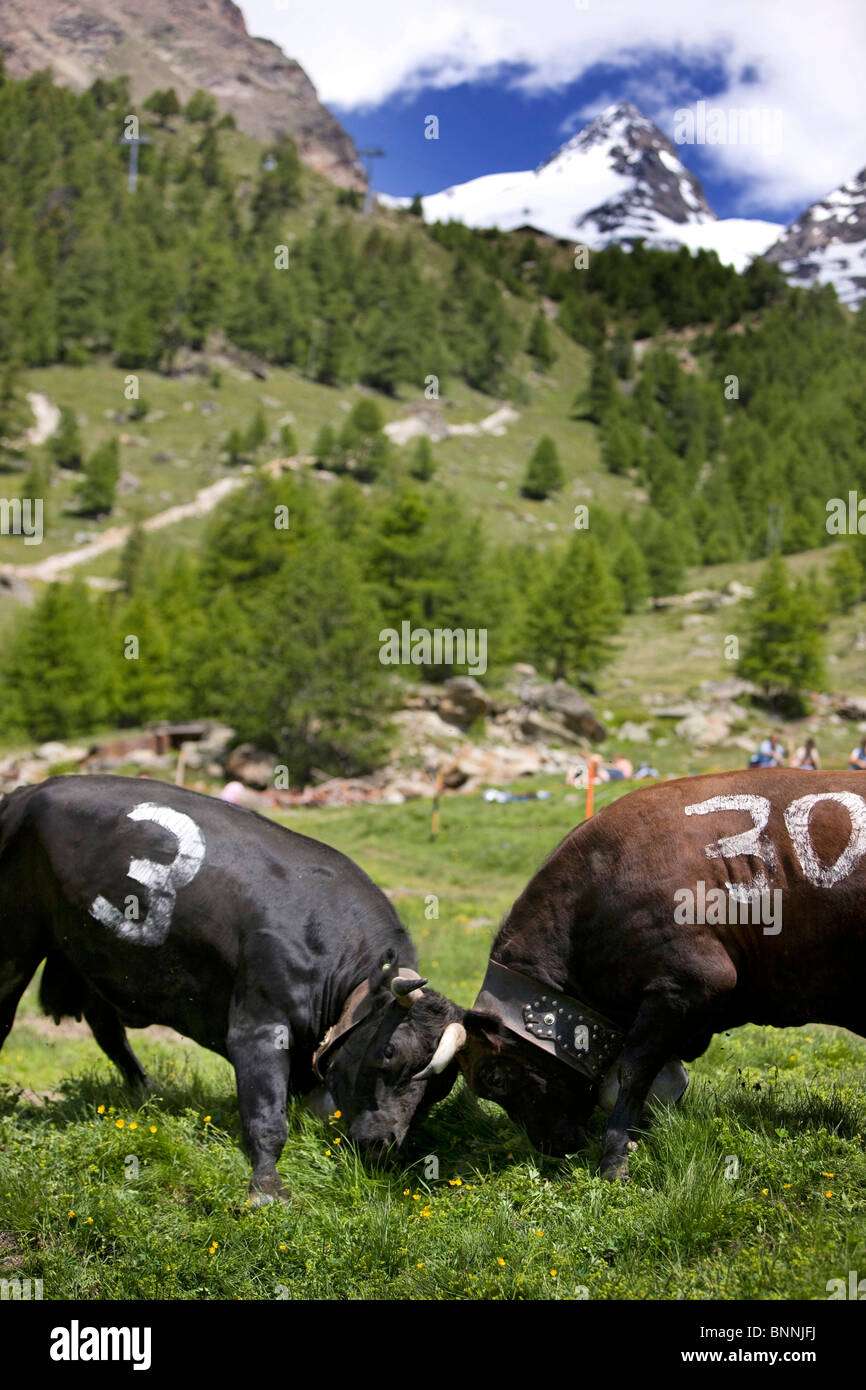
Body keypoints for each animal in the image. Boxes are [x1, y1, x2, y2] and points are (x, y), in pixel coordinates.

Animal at [0, 775, 463, 1201]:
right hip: (17, 939)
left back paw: (145, 1090)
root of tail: (29, 789)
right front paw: (266, 1187)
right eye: (389, 1053)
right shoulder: (258, 1024)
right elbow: (267, 1116)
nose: (387, 1146)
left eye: (439, 1090)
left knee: (105, 1027)